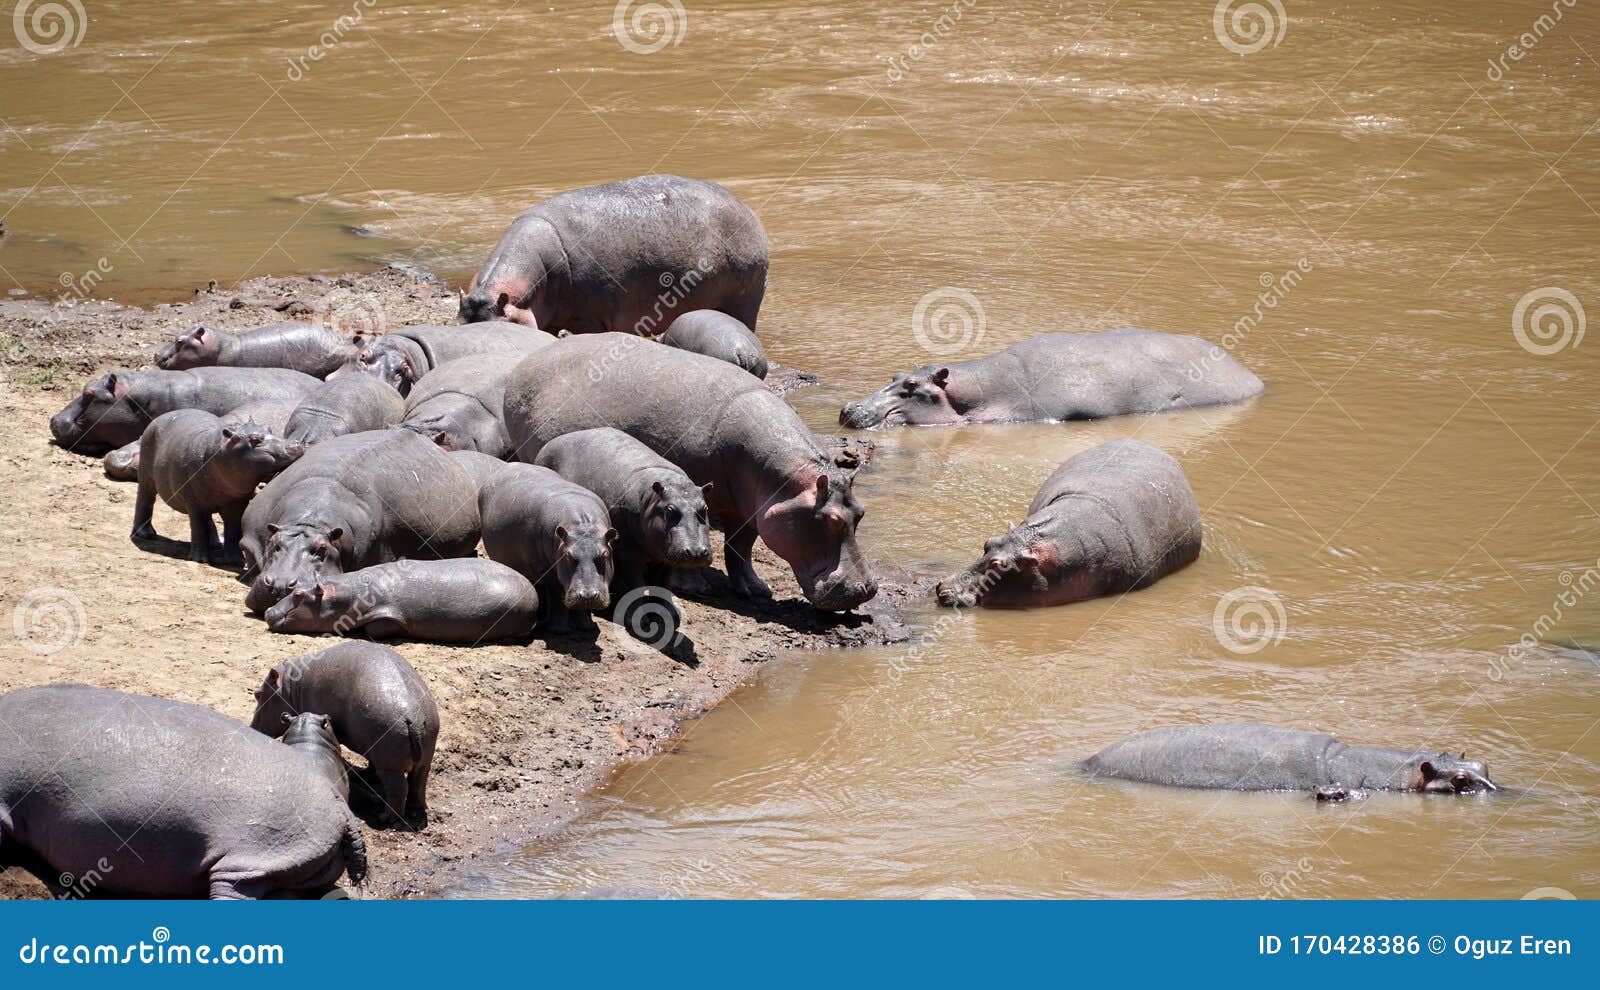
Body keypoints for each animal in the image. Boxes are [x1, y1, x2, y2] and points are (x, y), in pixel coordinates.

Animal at [132, 409, 305, 564]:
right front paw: (200, 560)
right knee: (145, 500)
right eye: (255, 439)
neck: (220, 451)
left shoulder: (237, 502)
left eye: (269, 428)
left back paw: (216, 543)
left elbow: (233, 530)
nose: (295, 443)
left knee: (209, 520)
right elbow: (198, 528)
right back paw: (145, 534)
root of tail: (162, 416)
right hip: (146, 476)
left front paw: (236, 561)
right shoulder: (193, 502)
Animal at [250, 642, 439, 827]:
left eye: (257, 694)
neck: (291, 687)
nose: (251, 727)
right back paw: (413, 808)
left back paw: (385, 818)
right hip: (416, 758)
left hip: (389, 765)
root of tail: (415, 720)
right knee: (417, 783)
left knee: (398, 789)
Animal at [265, 558, 540, 645]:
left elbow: (376, 626)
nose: (268, 612)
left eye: (298, 595)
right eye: (295, 587)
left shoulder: (389, 613)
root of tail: (535, 595)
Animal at [479, 463, 615, 631]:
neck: (583, 526)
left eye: (605, 554)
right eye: (567, 556)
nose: (588, 596)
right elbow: (557, 595)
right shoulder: (545, 570)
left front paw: (586, 626)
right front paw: (559, 630)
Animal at [534, 427, 713, 590]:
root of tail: (550, 443)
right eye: (669, 509)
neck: (650, 497)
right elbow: (636, 583)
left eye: (705, 508)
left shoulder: (664, 557)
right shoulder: (628, 554)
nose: (696, 552)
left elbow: (661, 585)